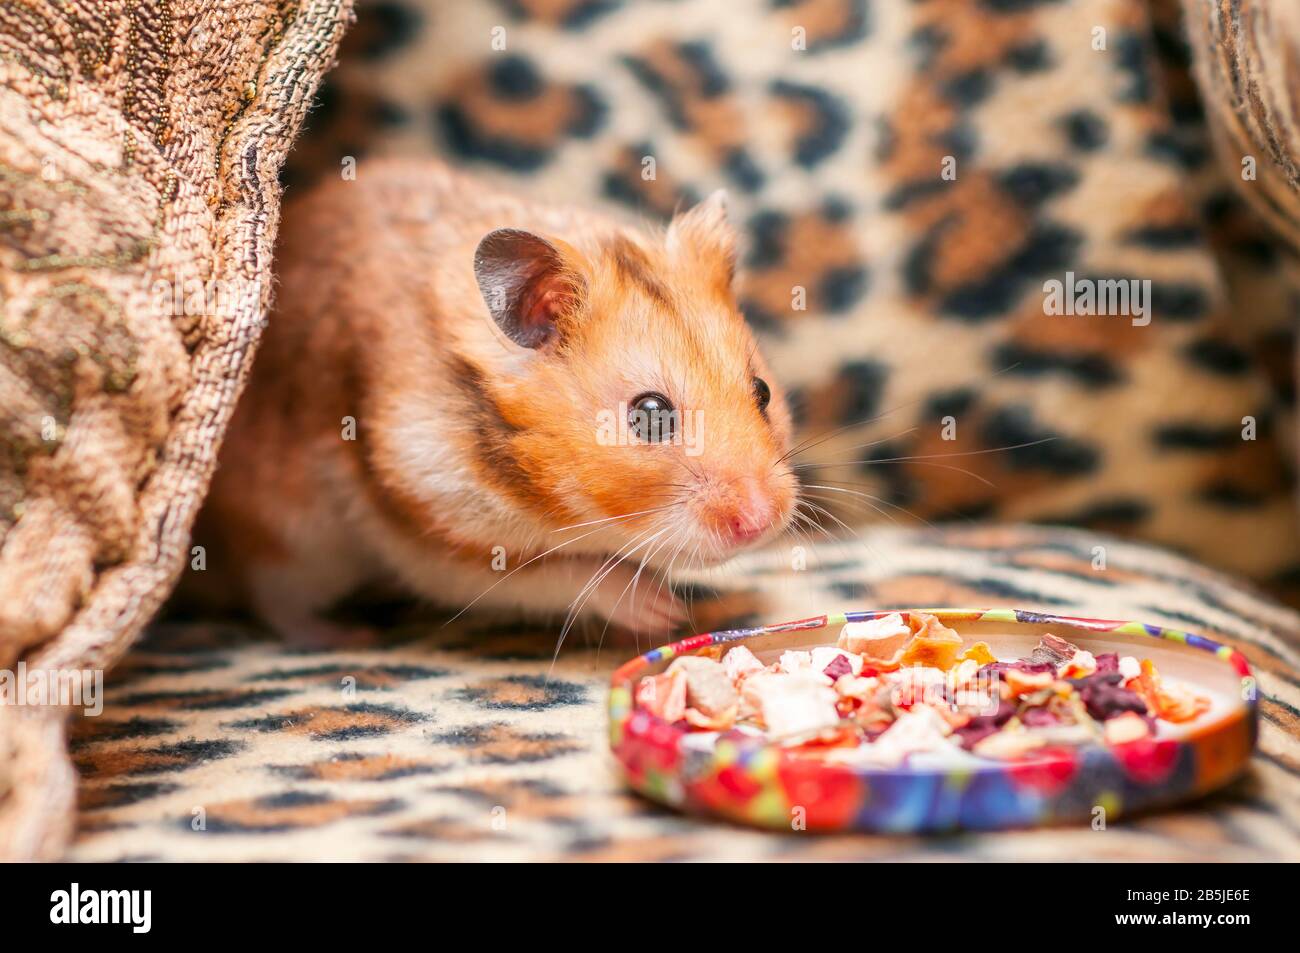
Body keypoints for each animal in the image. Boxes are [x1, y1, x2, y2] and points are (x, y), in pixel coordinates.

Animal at [191, 159, 798, 645]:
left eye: (763, 391)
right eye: (650, 415)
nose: (762, 522)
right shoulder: (427, 527)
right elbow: (559, 576)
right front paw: (662, 611)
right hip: (289, 540)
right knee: (274, 599)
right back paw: (346, 635)